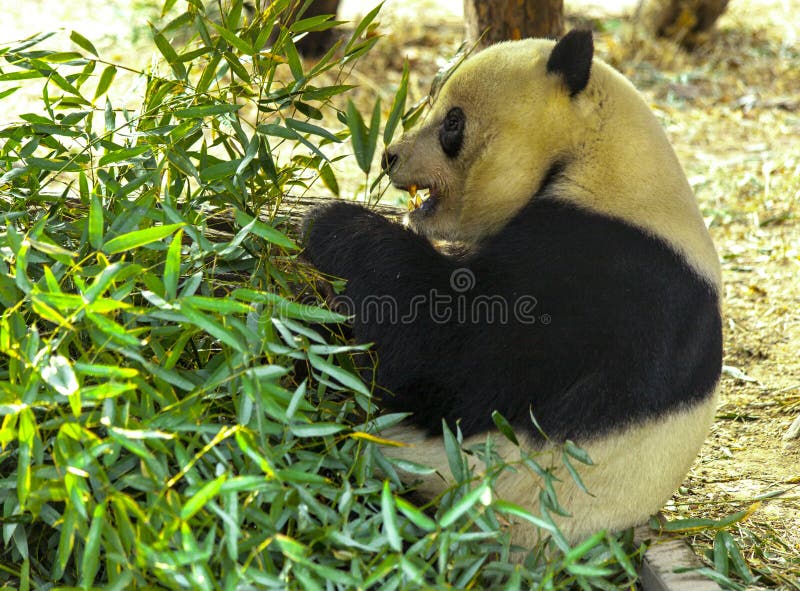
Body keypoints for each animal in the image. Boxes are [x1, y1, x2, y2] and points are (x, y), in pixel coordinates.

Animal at [301, 30, 722, 548]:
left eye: (453, 122)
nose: (389, 157)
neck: (599, 154)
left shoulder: (607, 270)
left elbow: (455, 352)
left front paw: (332, 221)